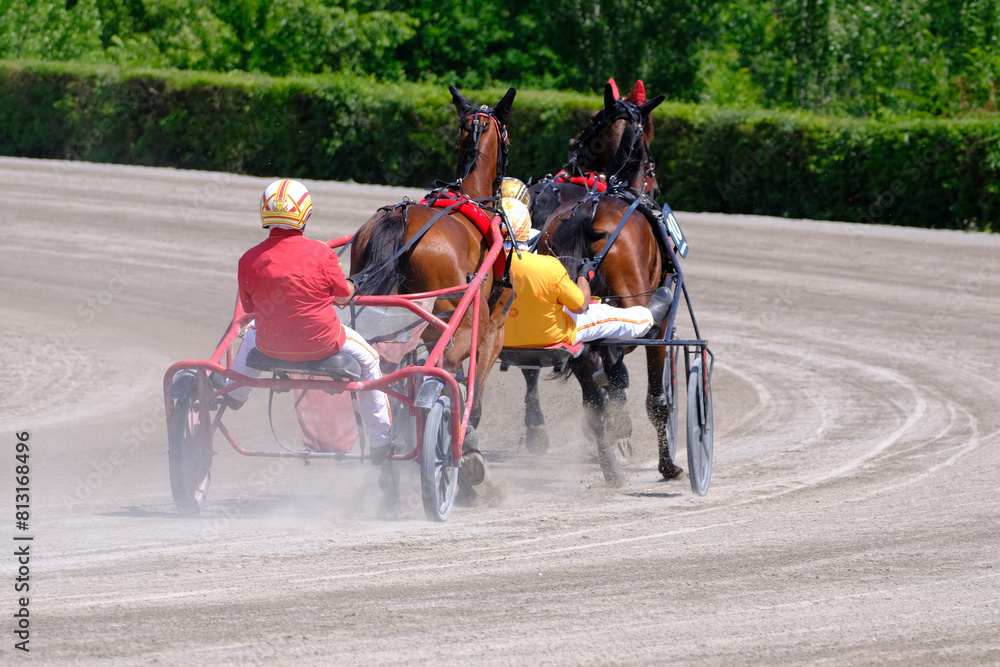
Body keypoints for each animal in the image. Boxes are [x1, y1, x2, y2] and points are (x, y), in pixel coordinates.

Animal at [349, 86, 516, 467]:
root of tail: (402, 215)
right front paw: (467, 446)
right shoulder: (491, 330)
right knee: (445, 367)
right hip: (460, 321)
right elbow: (474, 393)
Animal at [525, 83, 682, 485]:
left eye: (592, 121)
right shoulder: (660, 330)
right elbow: (655, 399)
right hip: (635, 307)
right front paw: (667, 464)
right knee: (608, 356)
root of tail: (585, 214)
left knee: (588, 375)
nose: (572, 144)